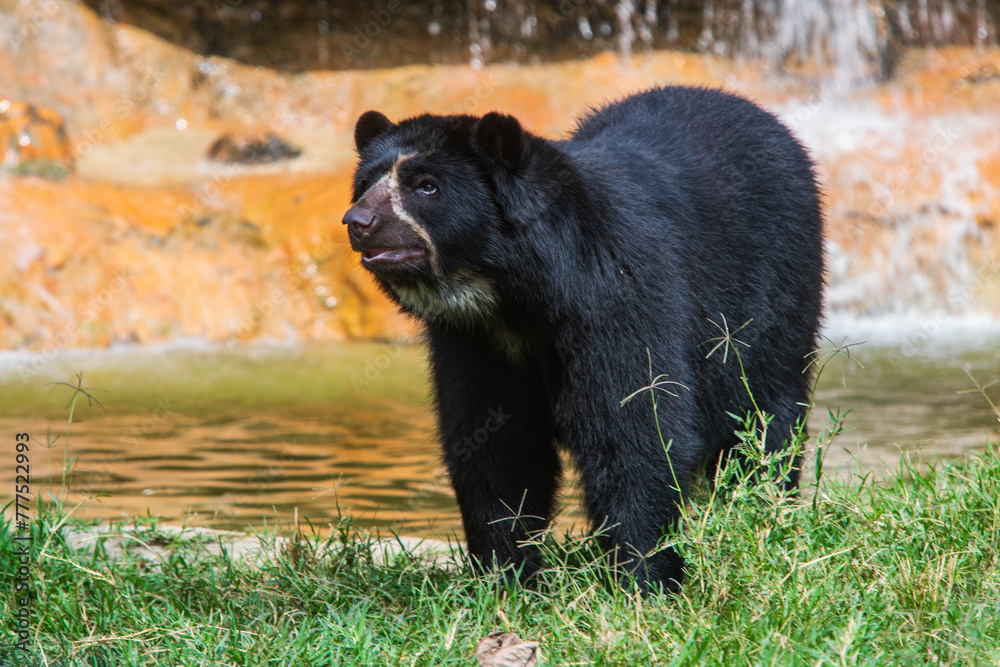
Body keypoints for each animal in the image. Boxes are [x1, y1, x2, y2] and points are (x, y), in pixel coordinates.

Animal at [342, 86, 824, 594]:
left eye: (426, 186)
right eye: (367, 182)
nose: (358, 220)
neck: (515, 299)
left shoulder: (619, 297)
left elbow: (634, 429)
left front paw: (644, 581)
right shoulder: (474, 342)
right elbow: (495, 447)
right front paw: (505, 578)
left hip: (774, 291)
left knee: (765, 414)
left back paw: (762, 511)